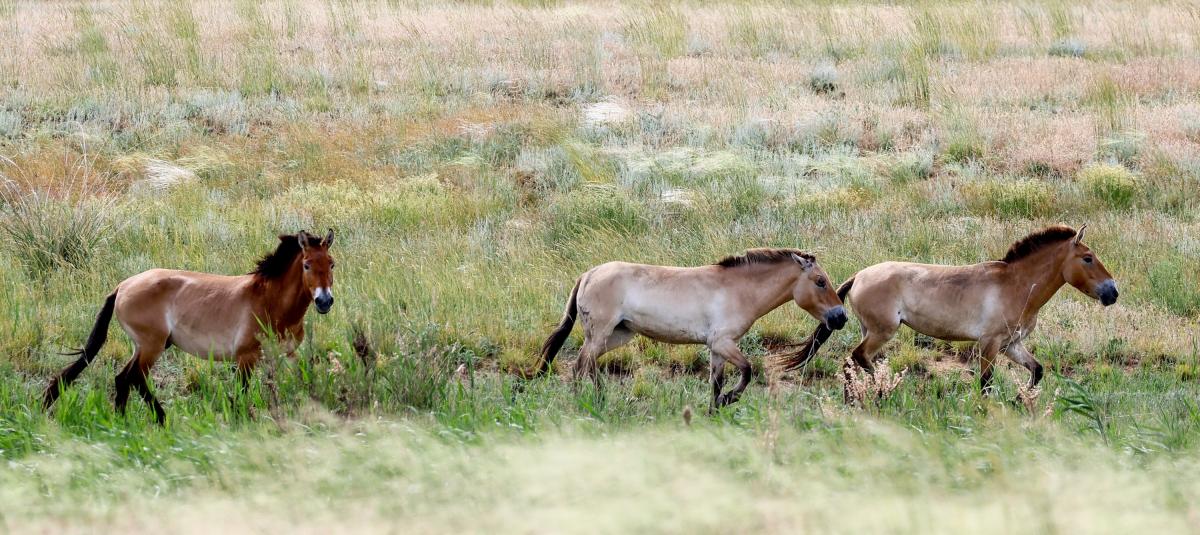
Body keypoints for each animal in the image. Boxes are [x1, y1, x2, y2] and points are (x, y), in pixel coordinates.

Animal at [42, 229, 337, 424]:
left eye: (332, 264)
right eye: (307, 264)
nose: (324, 301)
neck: (270, 300)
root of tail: (123, 286)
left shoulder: (282, 355)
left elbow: (288, 385)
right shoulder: (246, 357)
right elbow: (242, 392)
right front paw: (241, 421)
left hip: (144, 346)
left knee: (122, 378)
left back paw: (122, 421)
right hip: (152, 346)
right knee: (135, 378)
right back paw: (161, 419)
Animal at [538, 248, 848, 410]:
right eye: (820, 281)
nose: (841, 317)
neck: (738, 290)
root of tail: (588, 274)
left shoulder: (717, 350)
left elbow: (716, 383)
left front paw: (715, 410)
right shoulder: (723, 342)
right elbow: (747, 370)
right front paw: (729, 400)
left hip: (617, 335)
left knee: (587, 365)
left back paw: (595, 400)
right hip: (601, 333)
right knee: (580, 366)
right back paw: (585, 404)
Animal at [775, 225, 1117, 393]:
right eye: (1088, 258)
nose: (1112, 292)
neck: (1016, 285)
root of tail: (859, 276)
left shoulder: (1011, 345)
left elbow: (1037, 371)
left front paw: (1022, 400)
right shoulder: (989, 344)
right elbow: (985, 383)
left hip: (868, 329)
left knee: (852, 362)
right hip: (883, 331)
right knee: (860, 357)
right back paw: (883, 389)